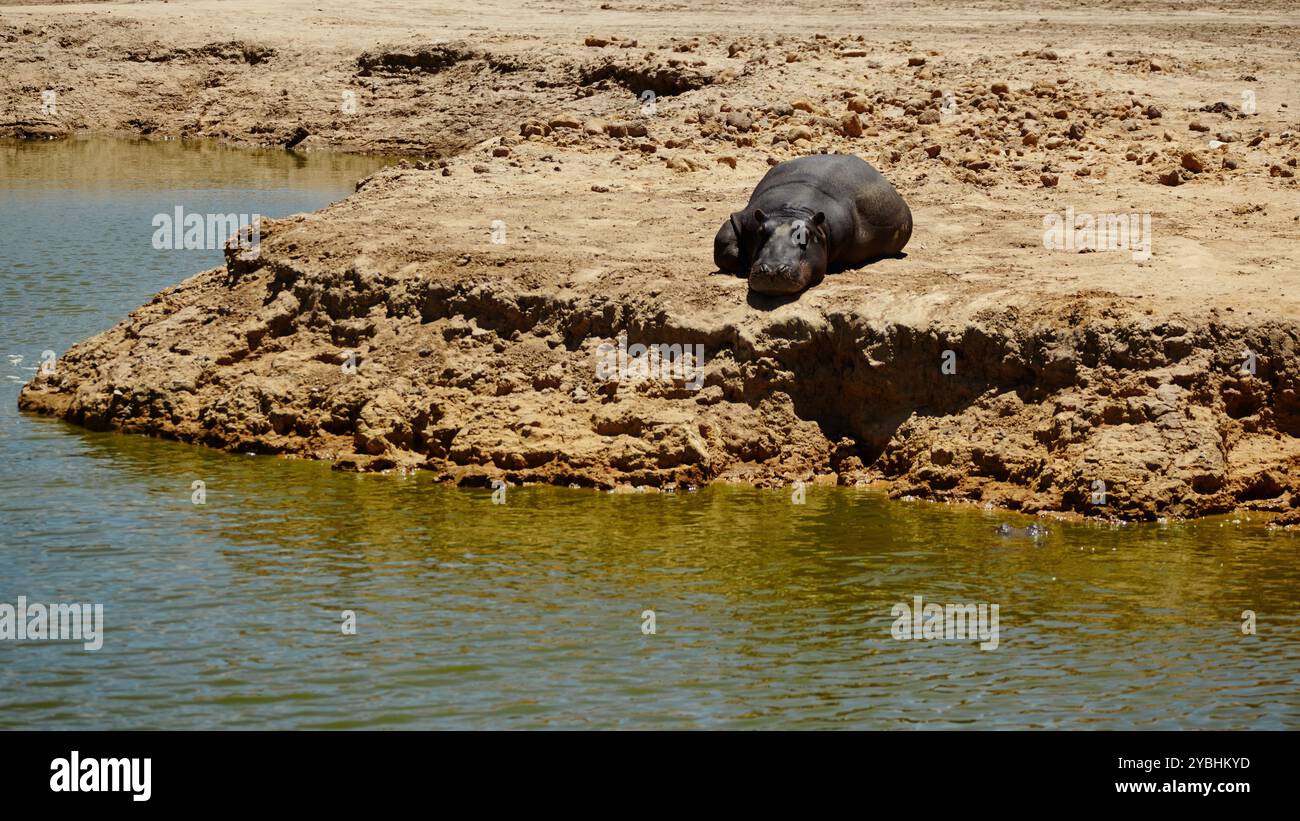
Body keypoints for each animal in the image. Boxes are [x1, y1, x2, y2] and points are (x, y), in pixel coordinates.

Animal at [713, 154, 913, 295]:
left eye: (806, 236)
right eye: (761, 231)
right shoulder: (744, 219)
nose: (772, 270)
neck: (791, 211)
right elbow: (725, 242)